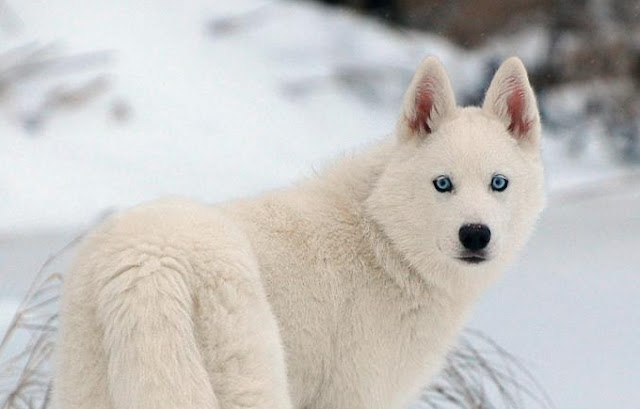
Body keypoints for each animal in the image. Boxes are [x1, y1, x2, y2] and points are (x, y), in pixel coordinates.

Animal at [53, 56, 545, 409]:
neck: (382, 243)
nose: (475, 235)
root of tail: (149, 259)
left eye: (498, 183)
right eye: (443, 184)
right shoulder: (356, 398)